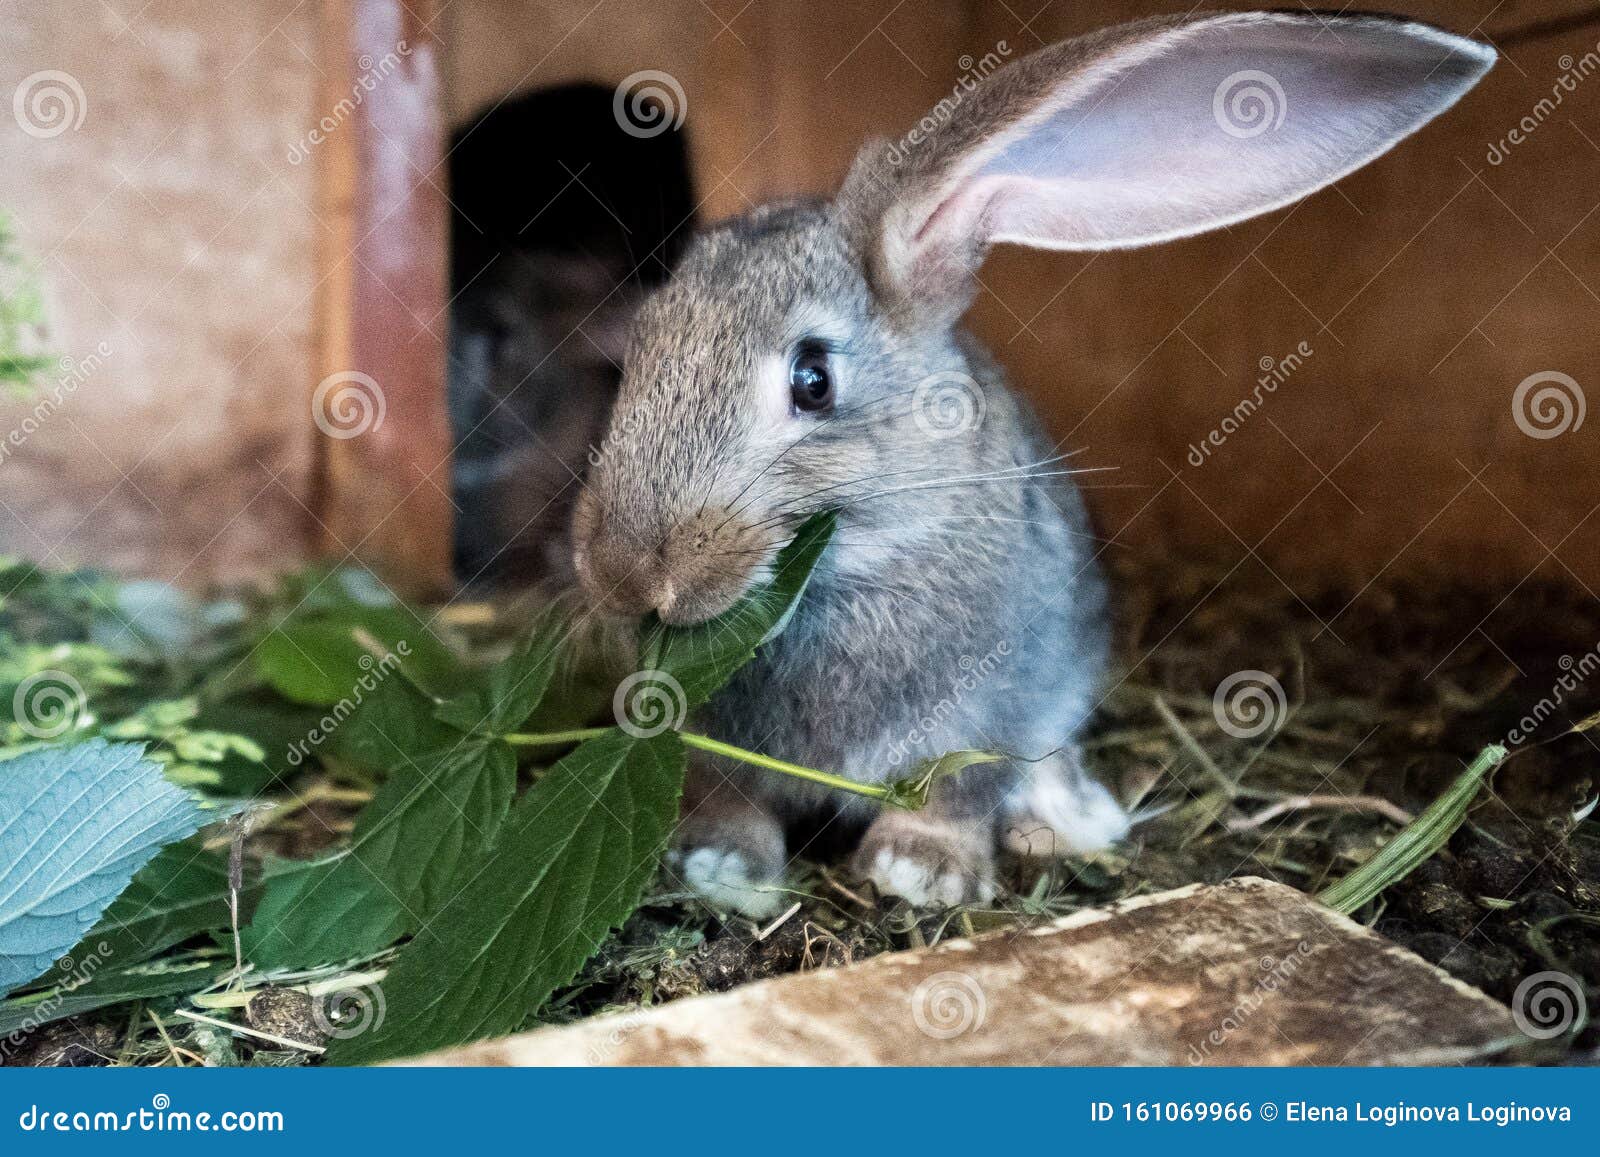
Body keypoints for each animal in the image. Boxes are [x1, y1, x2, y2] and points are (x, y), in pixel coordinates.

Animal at [571, 11, 1494, 915]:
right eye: (636, 353)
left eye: (813, 379)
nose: (624, 573)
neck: (850, 568)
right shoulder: (708, 750)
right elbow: (725, 795)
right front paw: (721, 868)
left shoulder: (990, 709)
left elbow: (960, 789)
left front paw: (921, 870)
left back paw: (1072, 819)